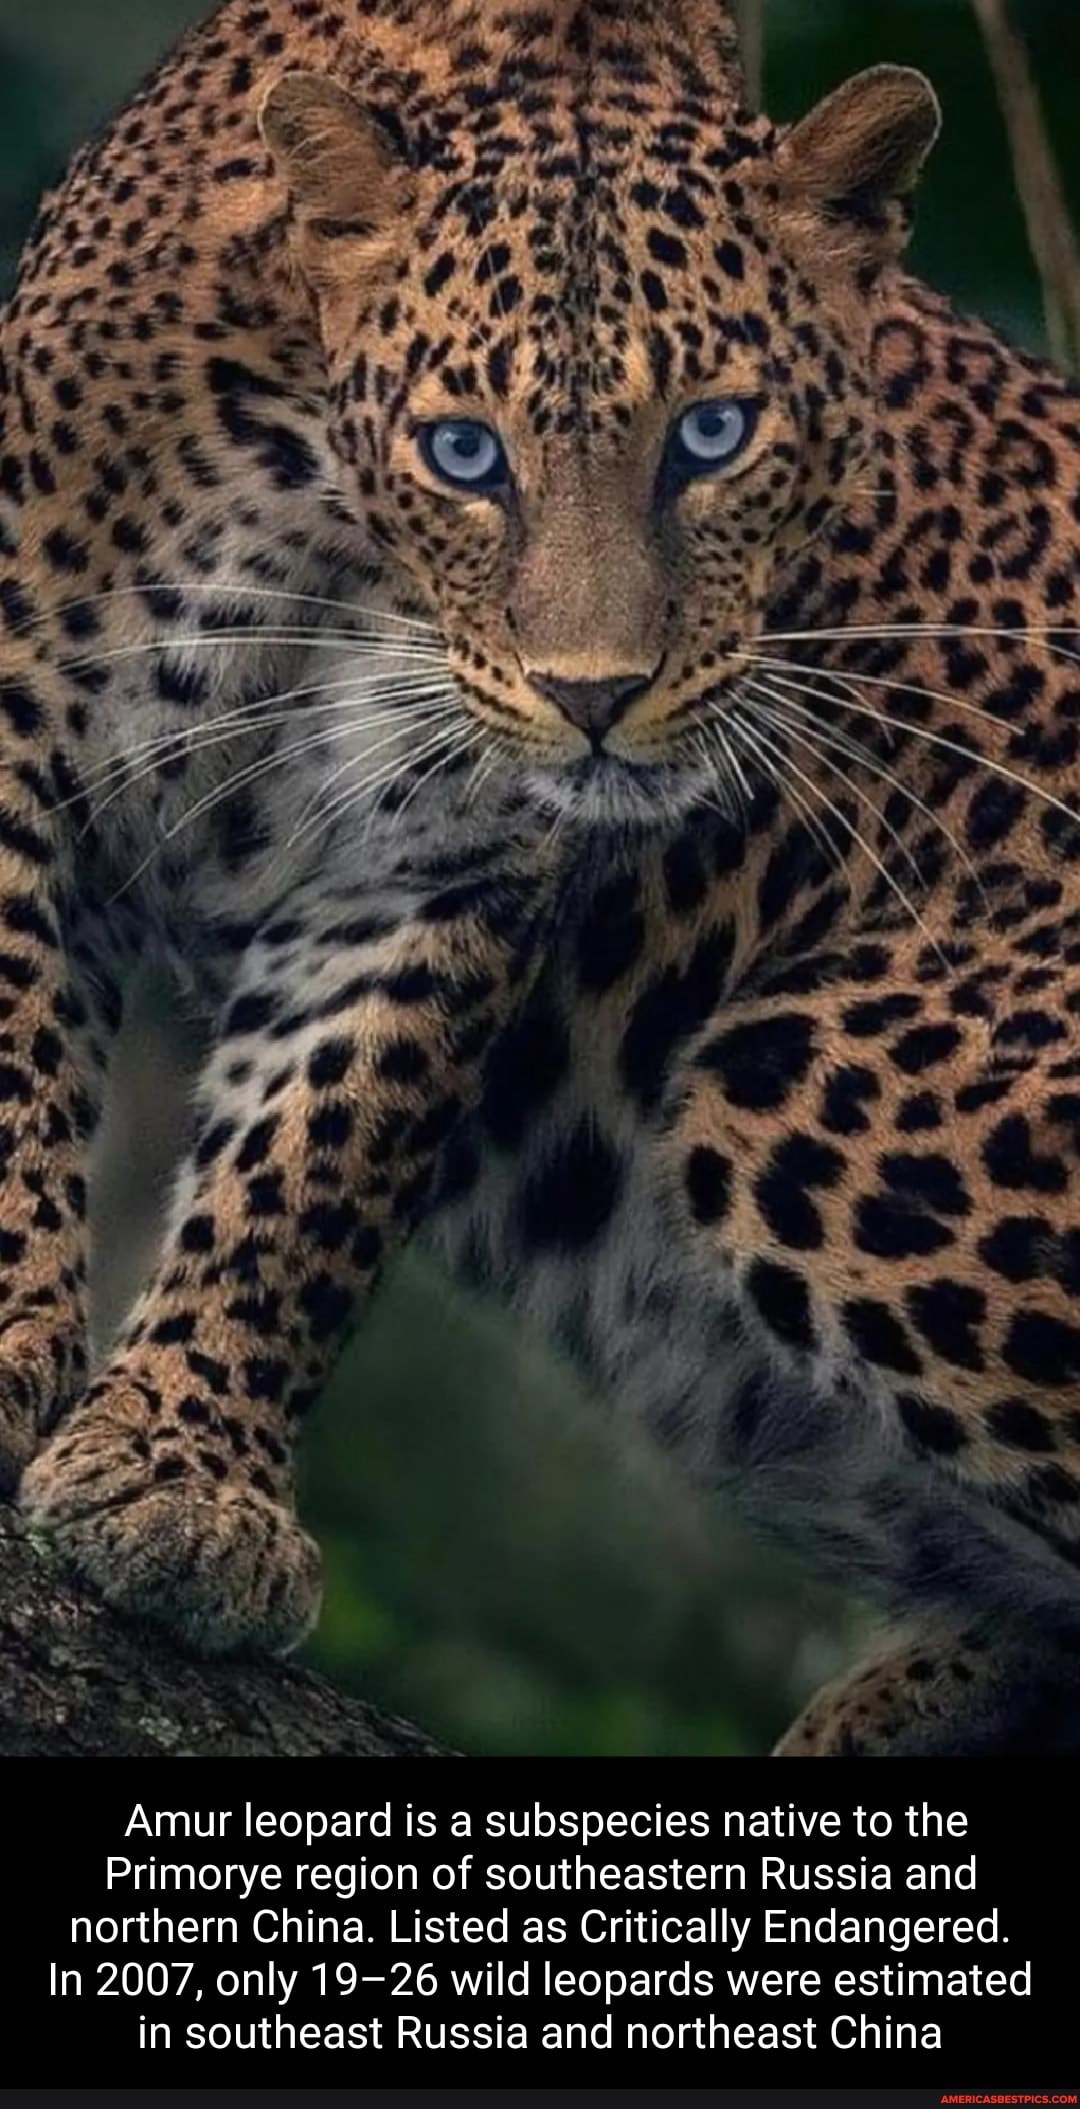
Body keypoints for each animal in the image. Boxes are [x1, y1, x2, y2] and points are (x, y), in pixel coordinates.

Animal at [2, 0, 1080, 1755]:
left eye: (713, 435)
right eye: (466, 452)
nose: (592, 696)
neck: (319, 519)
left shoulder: (443, 867)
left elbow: (314, 1160)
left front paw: (181, 1476)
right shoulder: (20, 716)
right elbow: (17, 1054)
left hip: (817, 1063)